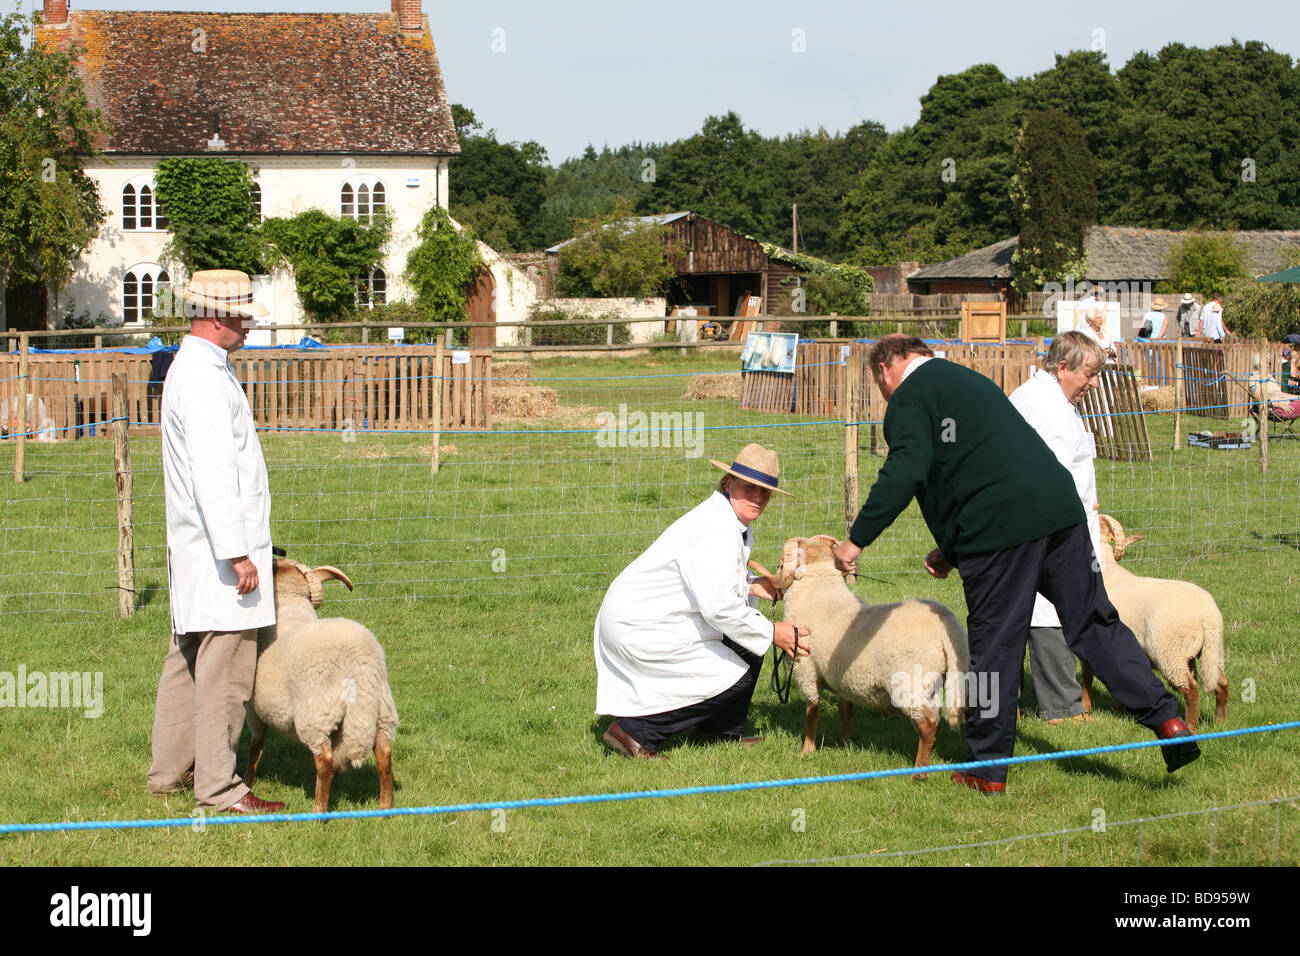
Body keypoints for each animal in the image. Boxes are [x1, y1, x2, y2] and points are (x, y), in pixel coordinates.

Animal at [245, 559, 399, 813]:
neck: (290, 604)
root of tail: (359, 661)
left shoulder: (254, 710)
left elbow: (254, 748)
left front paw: (248, 782)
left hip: (316, 714)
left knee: (325, 762)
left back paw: (319, 810)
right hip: (381, 709)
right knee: (384, 753)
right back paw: (385, 808)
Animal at [774, 535, 969, 770]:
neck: (818, 585)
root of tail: (948, 626)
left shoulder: (806, 670)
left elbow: (812, 712)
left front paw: (806, 751)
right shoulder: (843, 675)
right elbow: (845, 709)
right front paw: (846, 744)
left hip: (909, 682)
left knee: (928, 723)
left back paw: (919, 771)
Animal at [1082, 515, 1227, 732]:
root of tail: (1207, 614)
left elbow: (1087, 677)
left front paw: (1086, 709)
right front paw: (1119, 710)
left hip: (1169, 652)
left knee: (1190, 688)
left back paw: (1191, 728)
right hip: (1210, 651)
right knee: (1221, 682)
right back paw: (1220, 722)